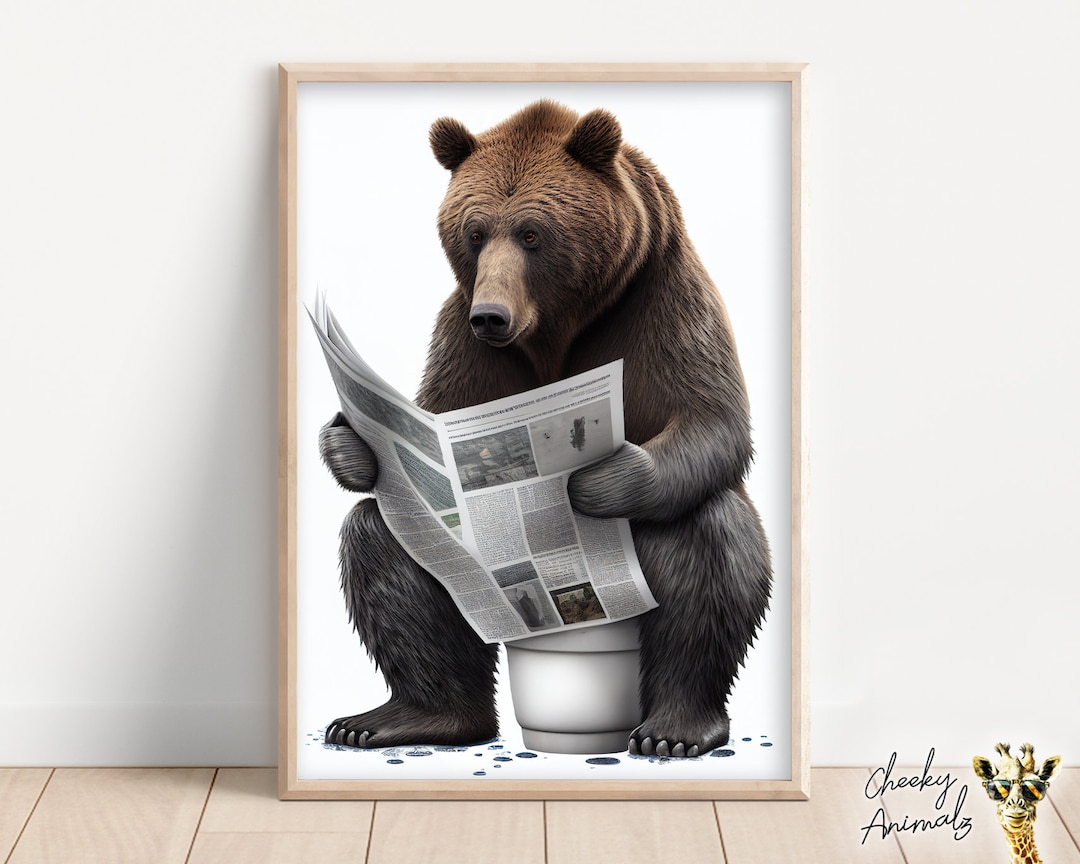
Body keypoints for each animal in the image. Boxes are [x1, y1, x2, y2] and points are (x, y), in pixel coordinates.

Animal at [319, 99, 772, 758]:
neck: (558, 328)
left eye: (532, 233)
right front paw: (347, 442)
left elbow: (713, 420)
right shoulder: (468, 344)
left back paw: (675, 730)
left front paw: (592, 481)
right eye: (475, 232)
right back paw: (398, 718)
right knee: (384, 542)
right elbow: (431, 420)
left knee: (708, 545)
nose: (491, 314)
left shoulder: (661, 300)